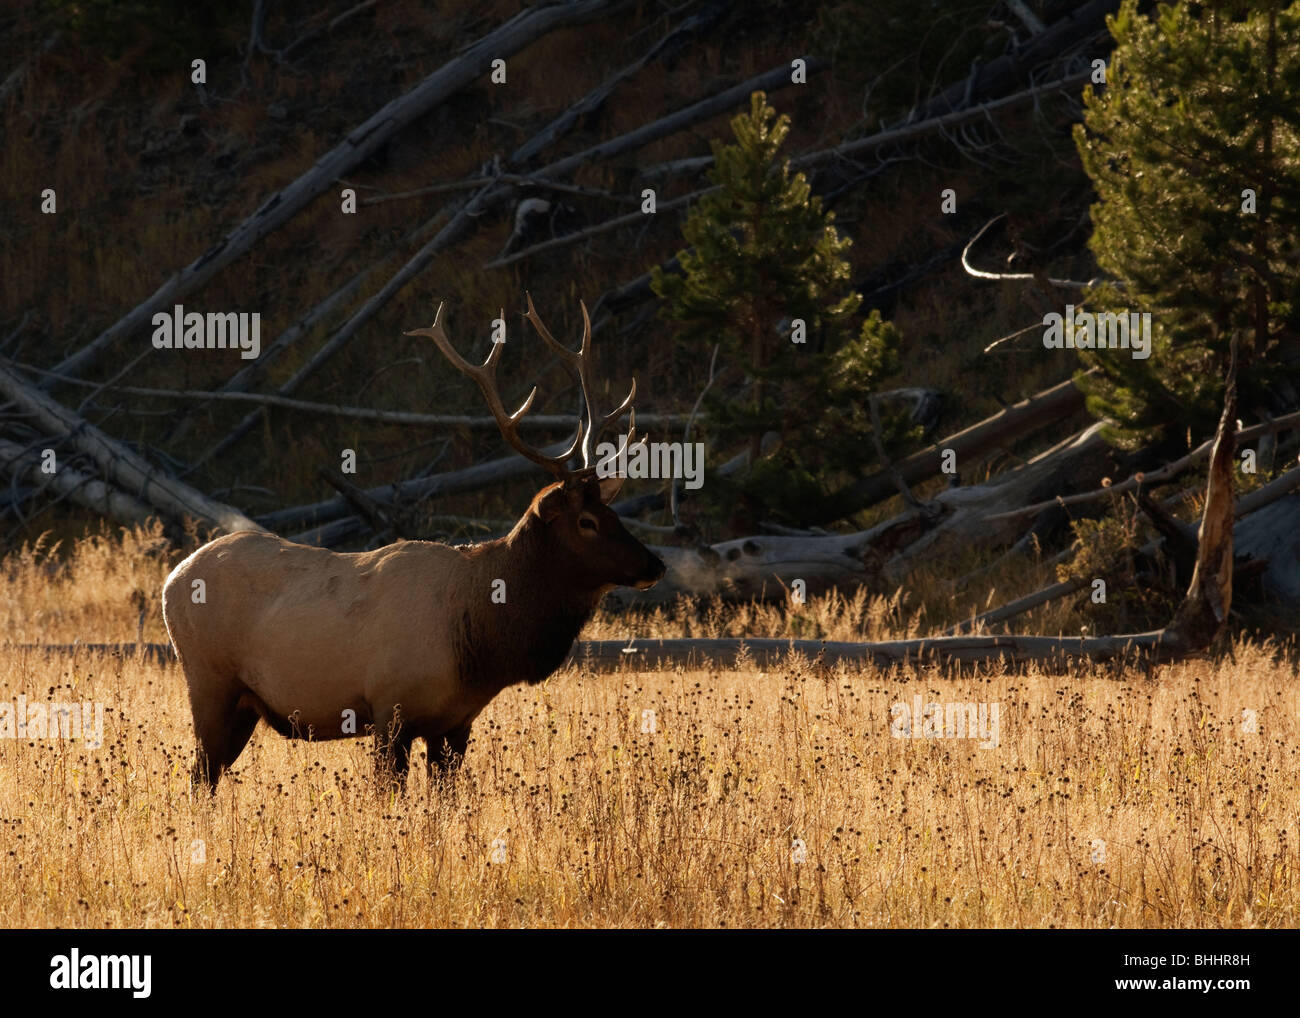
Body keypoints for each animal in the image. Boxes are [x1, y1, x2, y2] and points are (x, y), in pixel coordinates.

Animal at [162, 294, 665, 793]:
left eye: (614, 513)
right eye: (586, 521)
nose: (655, 564)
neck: (479, 641)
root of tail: (172, 580)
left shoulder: (456, 723)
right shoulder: (390, 709)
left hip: (244, 703)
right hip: (209, 681)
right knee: (198, 777)